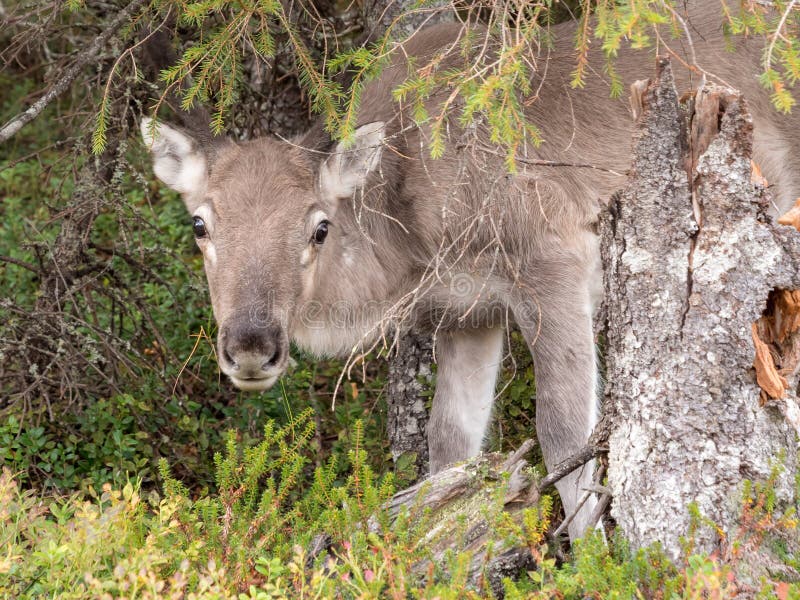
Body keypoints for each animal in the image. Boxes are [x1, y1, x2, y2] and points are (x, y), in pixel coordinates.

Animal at [141, 2, 800, 542]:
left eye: (319, 227)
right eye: (200, 224)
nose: (252, 346)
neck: (408, 250)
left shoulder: (553, 261)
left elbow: (565, 436)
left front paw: (593, 557)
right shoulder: (468, 312)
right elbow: (451, 445)